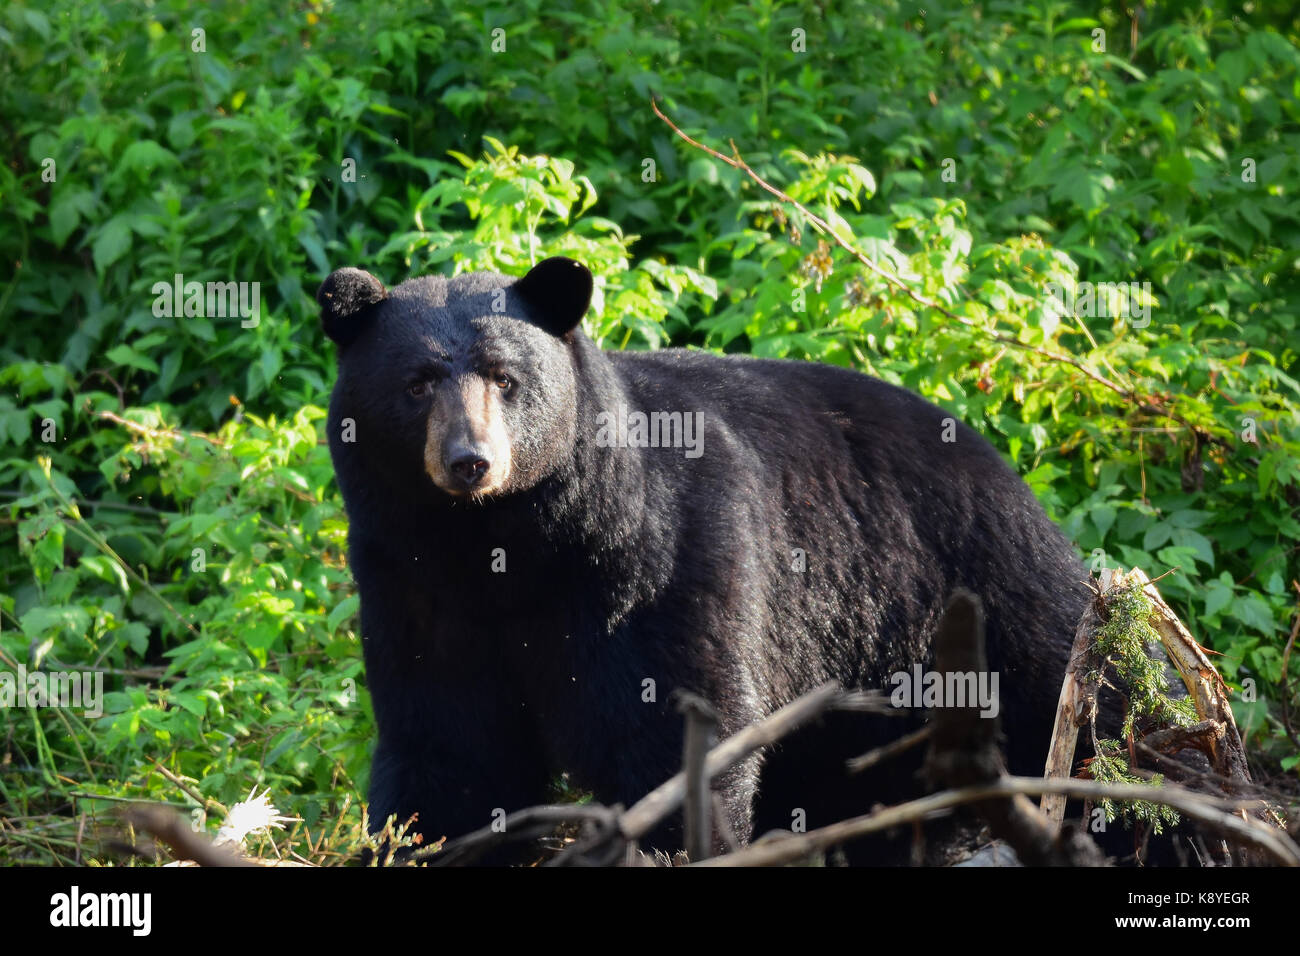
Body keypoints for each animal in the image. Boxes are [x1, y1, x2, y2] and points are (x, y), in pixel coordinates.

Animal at [317, 256, 1091, 863]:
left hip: (972, 586)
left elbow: (669, 727)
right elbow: (451, 750)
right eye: (417, 383)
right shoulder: (412, 584)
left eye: (505, 379)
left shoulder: (659, 565)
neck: (501, 548)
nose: (470, 461)